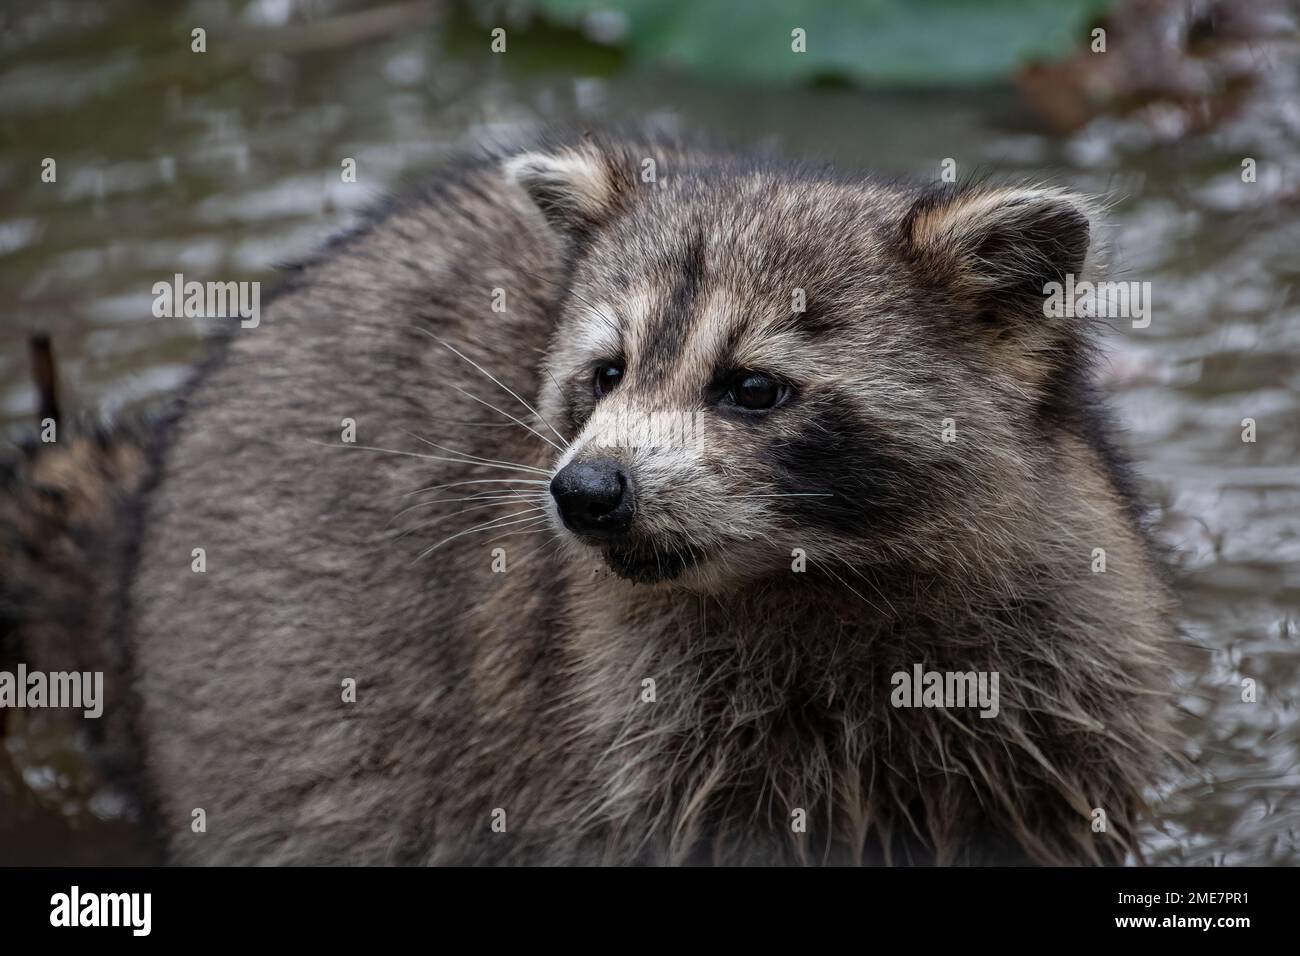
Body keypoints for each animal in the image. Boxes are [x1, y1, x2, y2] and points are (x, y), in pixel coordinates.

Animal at [4, 134, 1176, 865]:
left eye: (753, 388)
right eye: (605, 373)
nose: (584, 491)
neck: (813, 579)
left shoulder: (1050, 688)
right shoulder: (617, 741)